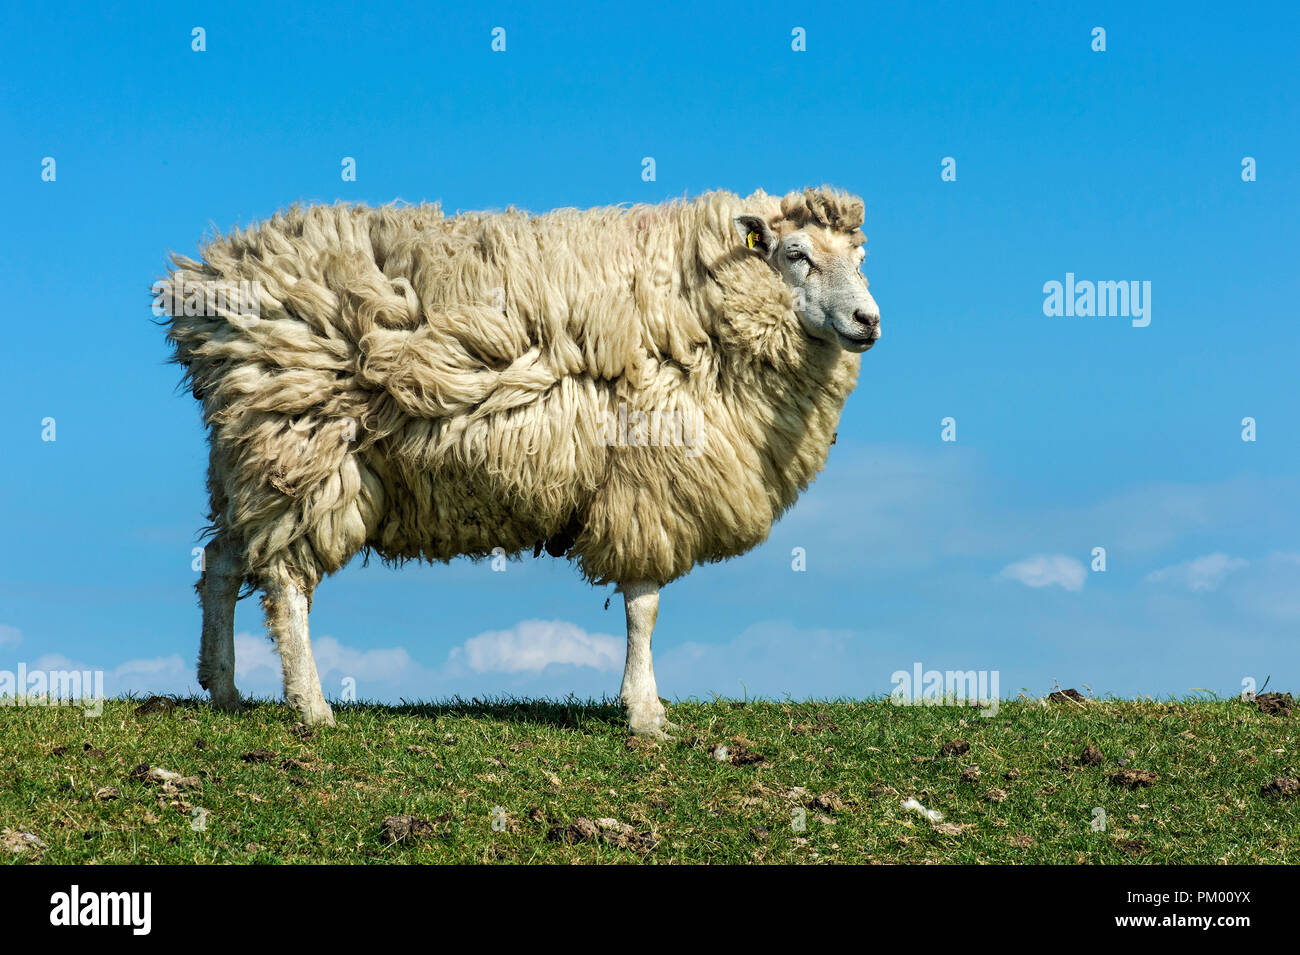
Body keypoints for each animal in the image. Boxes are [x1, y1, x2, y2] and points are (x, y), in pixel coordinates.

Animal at [160, 186, 882, 736]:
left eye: (859, 256)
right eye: (796, 255)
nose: (867, 320)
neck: (708, 301)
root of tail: (205, 288)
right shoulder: (647, 487)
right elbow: (644, 606)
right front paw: (645, 714)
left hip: (250, 460)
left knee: (222, 562)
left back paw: (223, 689)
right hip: (304, 441)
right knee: (285, 581)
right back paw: (311, 707)